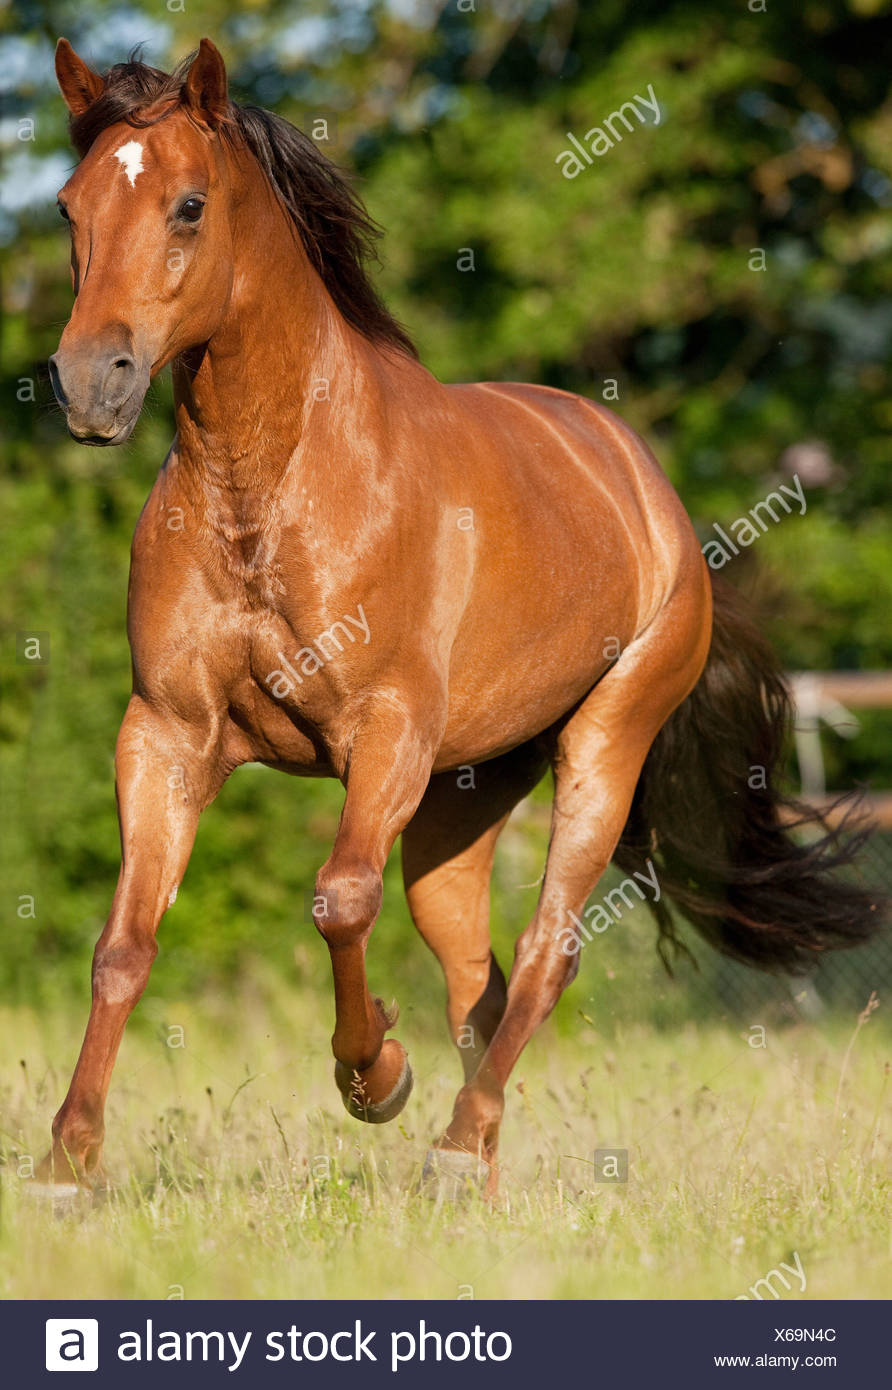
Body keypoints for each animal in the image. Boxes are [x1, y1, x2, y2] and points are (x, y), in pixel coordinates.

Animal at [43, 37, 879, 1195]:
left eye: (189, 206)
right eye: (69, 207)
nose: (90, 384)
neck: (269, 494)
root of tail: (651, 493)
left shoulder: (386, 731)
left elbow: (340, 898)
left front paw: (374, 1075)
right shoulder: (165, 734)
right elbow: (122, 944)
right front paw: (66, 1160)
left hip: (602, 749)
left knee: (544, 951)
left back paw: (448, 1140)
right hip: (459, 808)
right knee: (476, 977)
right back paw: (473, 1163)